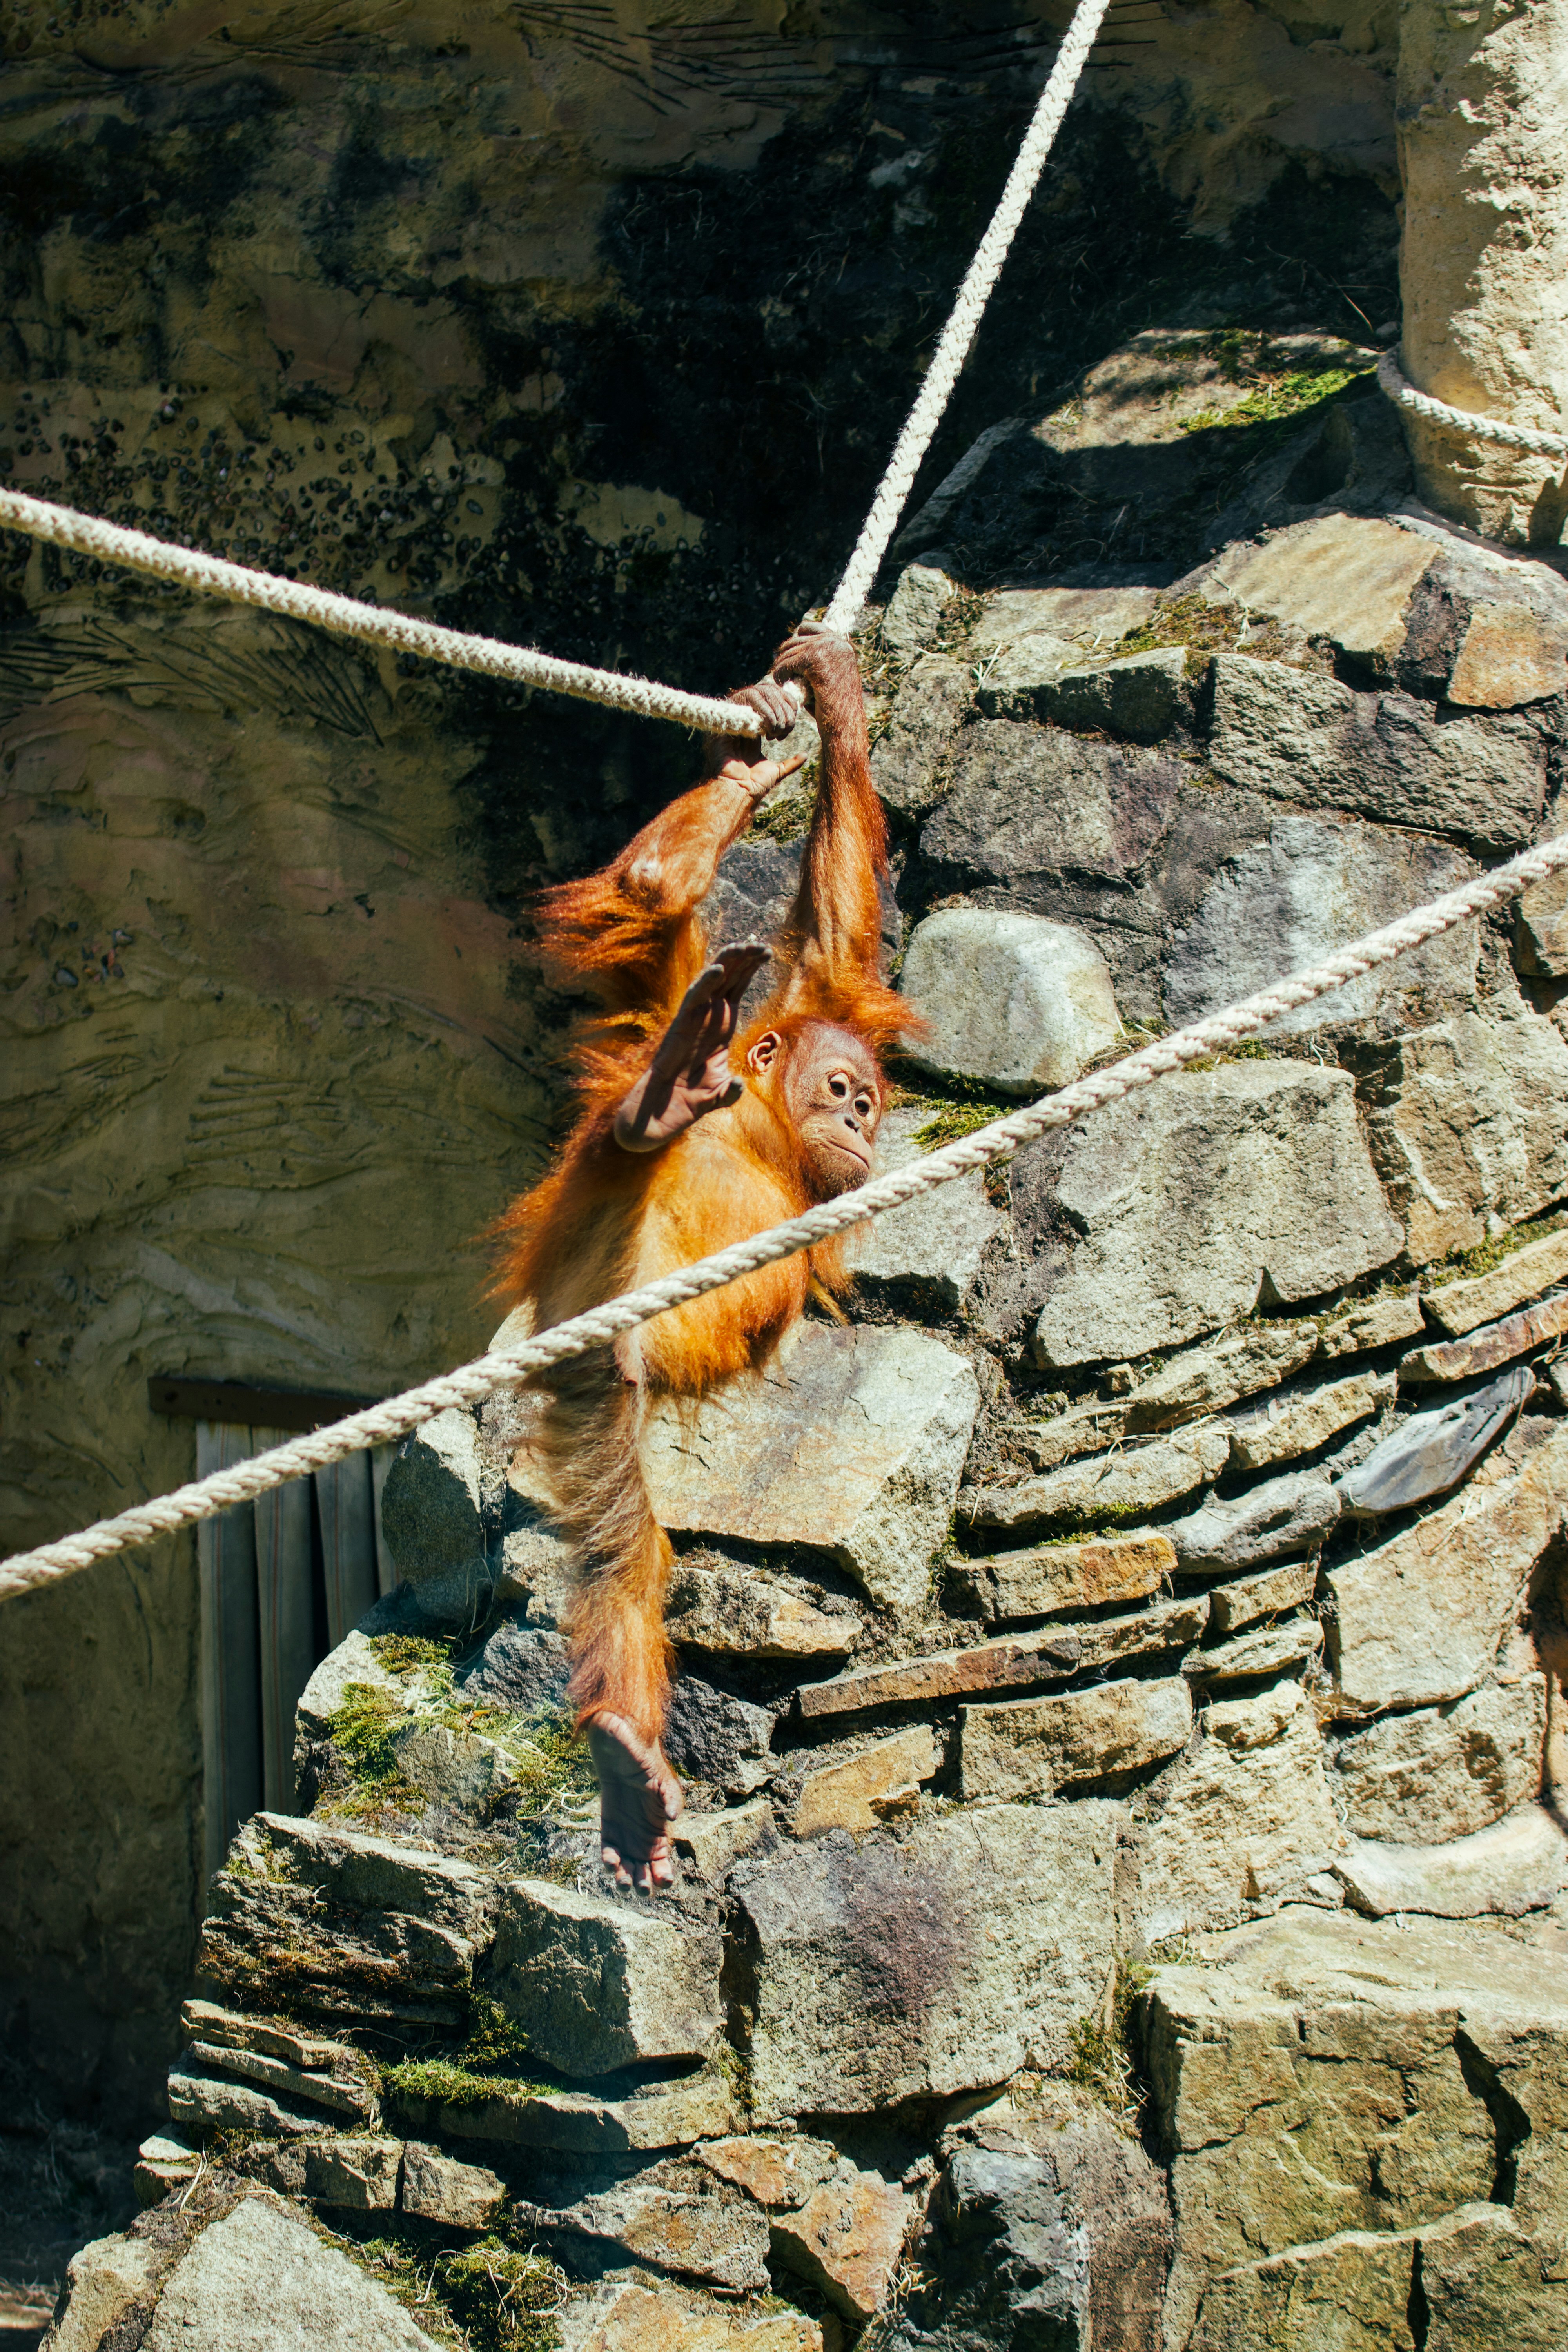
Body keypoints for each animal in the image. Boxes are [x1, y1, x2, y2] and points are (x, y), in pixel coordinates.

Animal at [494, 621, 918, 1891]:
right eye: (843, 1092)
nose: (862, 1125)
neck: (766, 1135)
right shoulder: (718, 998)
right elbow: (659, 899)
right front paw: (758, 765)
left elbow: (829, 926)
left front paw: (823, 711)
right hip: (588, 1273)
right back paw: (658, 1104)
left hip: (593, 1382)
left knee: (622, 1541)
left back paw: (625, 1761)